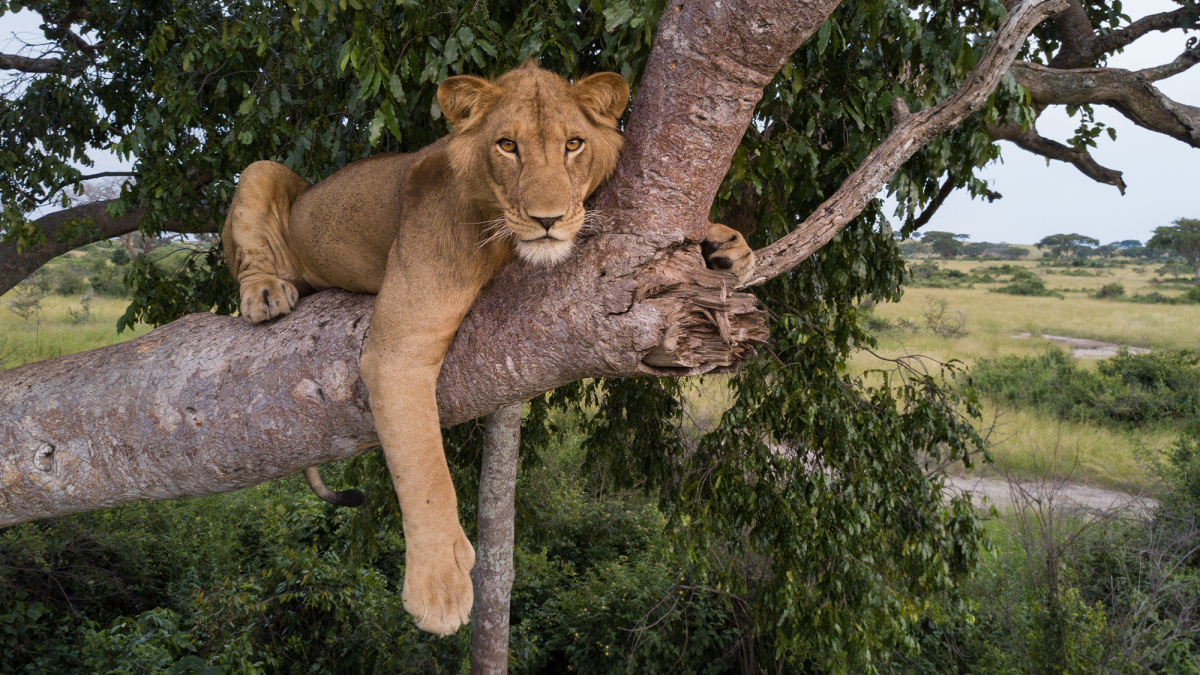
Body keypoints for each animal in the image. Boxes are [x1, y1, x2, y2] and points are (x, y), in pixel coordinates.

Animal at [222, 62, 755, 637]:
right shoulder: (397, 351)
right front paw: (438, 585)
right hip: (260, 172)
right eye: (507, 146)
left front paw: (726, 244)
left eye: (573, 144)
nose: (547, 219)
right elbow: (423, 466)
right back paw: (265, 293)